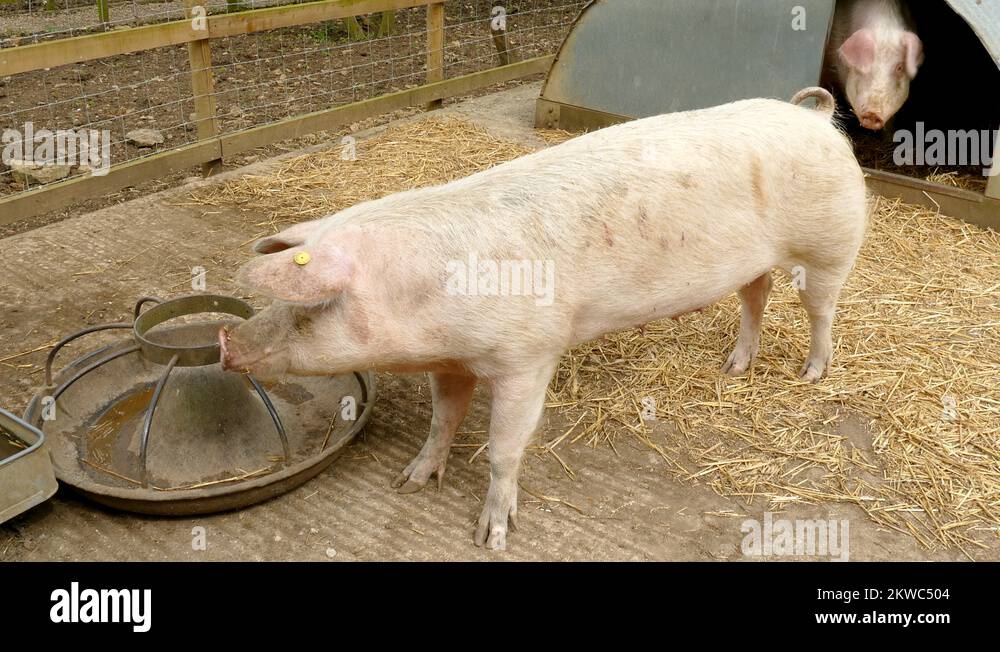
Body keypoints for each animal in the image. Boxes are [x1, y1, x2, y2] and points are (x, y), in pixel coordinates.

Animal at [220, 87, 867, 550]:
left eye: (310, 303)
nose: (227, 343)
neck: (427, 297)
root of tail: (816, 119)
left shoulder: (527, 357)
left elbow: (505, 449)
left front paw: (490, 537)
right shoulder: (450, 361)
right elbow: (442, 421)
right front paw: (408, 482)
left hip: (830, 245)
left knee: (821, 308)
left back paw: (811, 374)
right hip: (753, 263)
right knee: (756, 296)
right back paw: (734, 368)